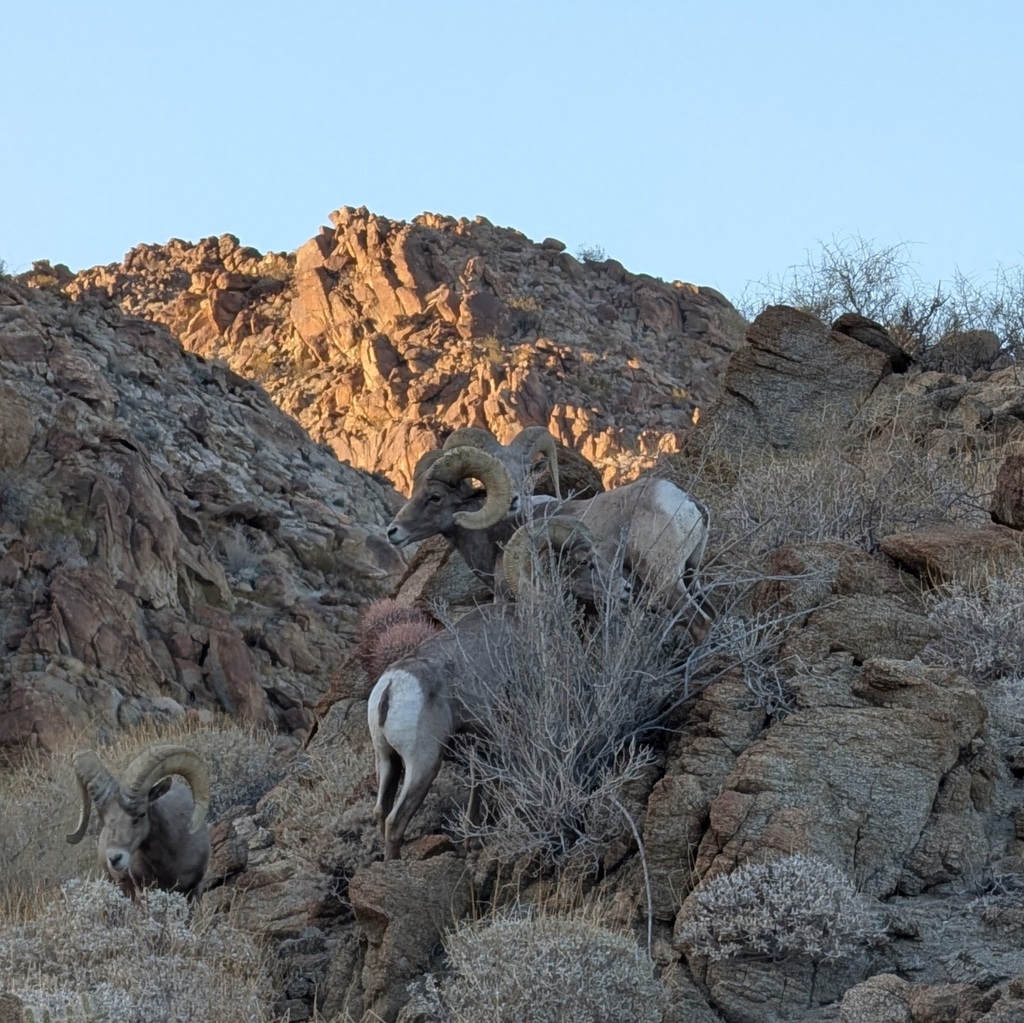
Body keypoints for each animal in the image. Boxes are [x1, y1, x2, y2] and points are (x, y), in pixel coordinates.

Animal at [368, 517, 630, 860]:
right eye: (586, 562)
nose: (625, 590)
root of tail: (391, 687)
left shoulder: (483, 738)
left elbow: (479, 779)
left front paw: (472, 840)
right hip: (423, 764)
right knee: (395, 822)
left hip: (387, 762)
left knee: (381, 811)